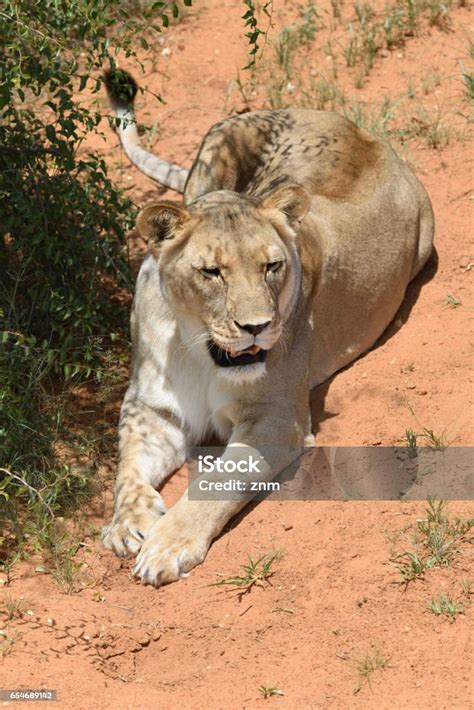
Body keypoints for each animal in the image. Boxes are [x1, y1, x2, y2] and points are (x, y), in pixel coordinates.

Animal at [101, 69, 434, 586]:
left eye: (272, 267)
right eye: (211, 272)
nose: (256, 327)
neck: (196, 348)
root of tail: (361, 128)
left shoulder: (277, 419)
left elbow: (219, 479)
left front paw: (167, 544)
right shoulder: (154, 410)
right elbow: (126, 467)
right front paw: (126, 524)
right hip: (215, 147)